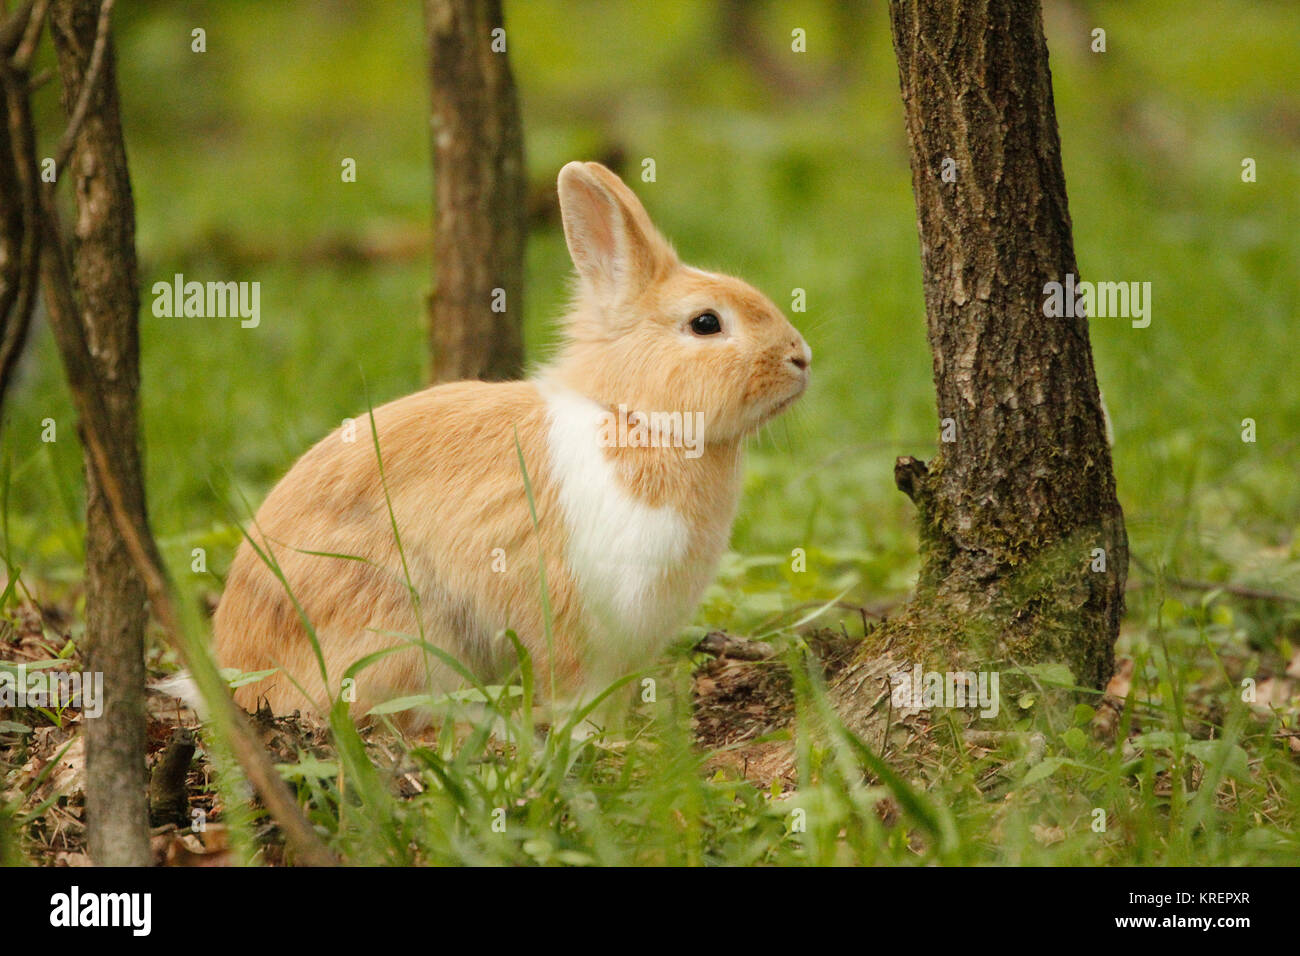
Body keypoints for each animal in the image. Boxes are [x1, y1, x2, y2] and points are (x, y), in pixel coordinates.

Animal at [211, 161, 811, 732]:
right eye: (706, 323)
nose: (801, 358)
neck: (634, 418)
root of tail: (241, 670)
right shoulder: (571, 623)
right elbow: (576, 696)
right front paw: (596, 740)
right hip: (397, 624)